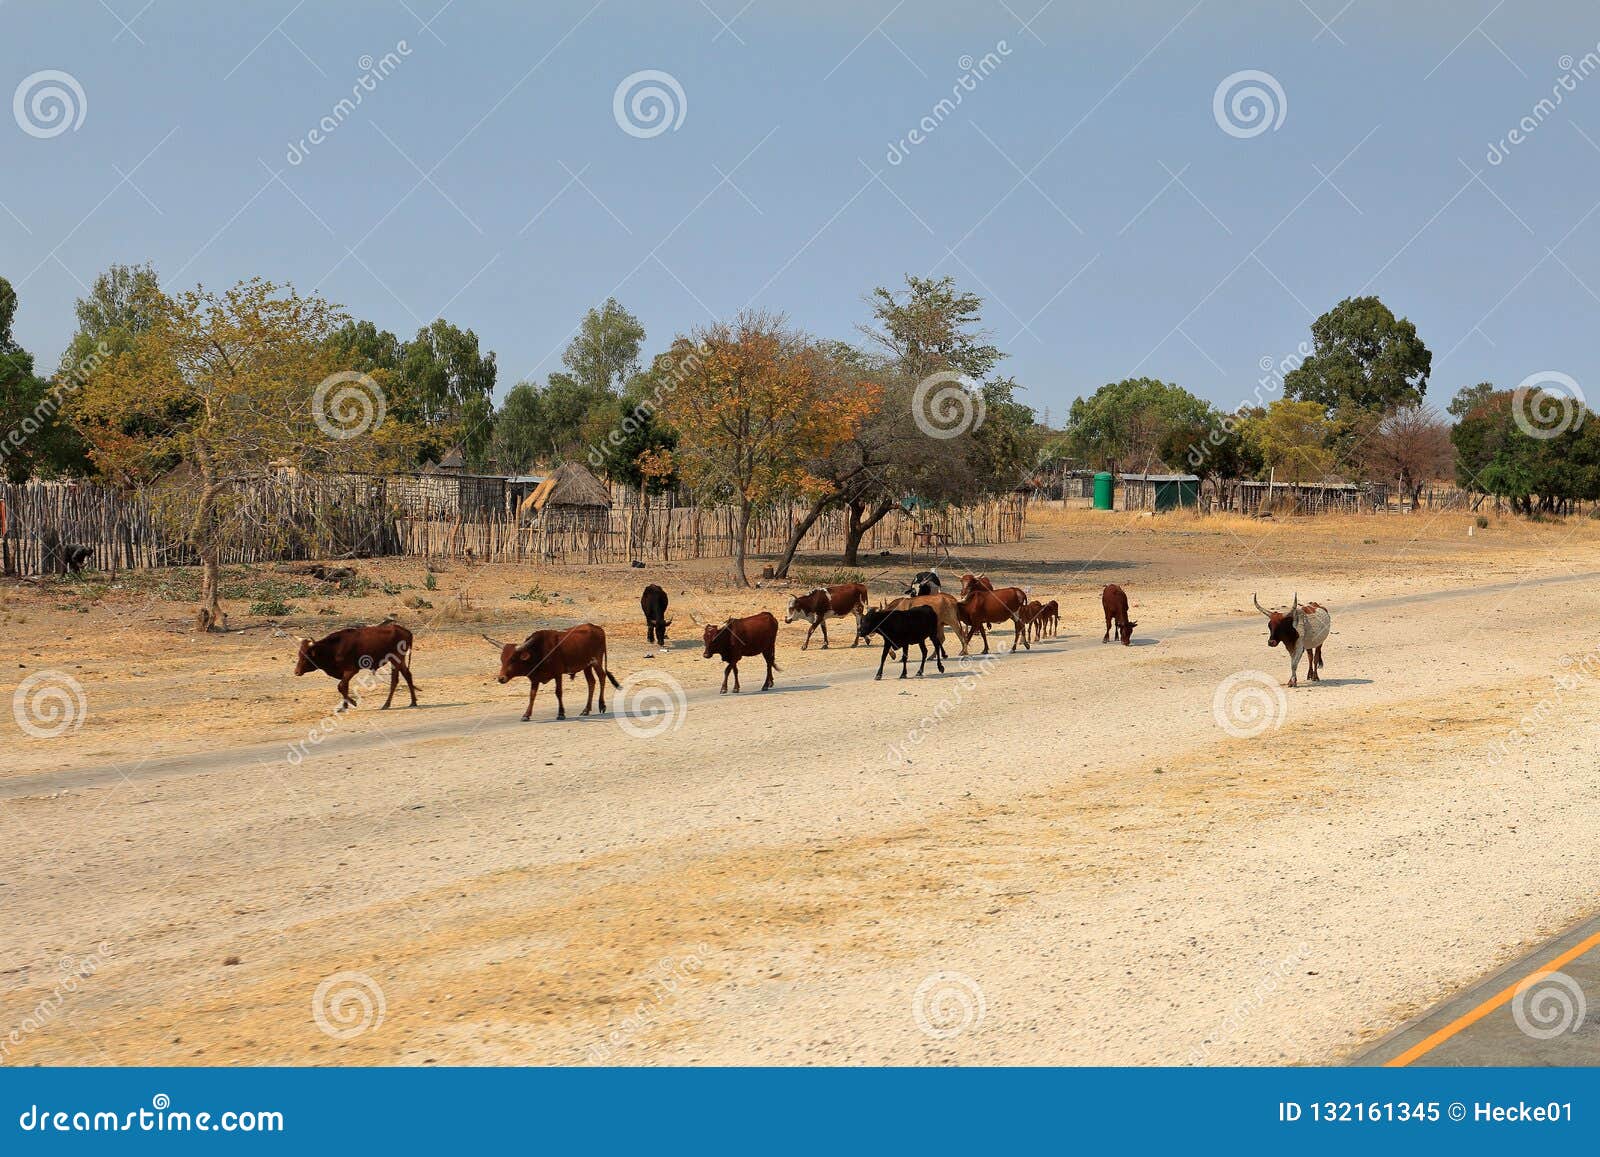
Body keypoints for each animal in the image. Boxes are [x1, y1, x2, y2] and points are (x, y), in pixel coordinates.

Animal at [487, 623, 620, 720]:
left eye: (513, 659)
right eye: (502, 659)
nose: (501, 678)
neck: (538, 651)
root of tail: (596, 627)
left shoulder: (558, 674)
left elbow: (558, 693)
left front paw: (561, 713)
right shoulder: (535, 678)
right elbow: (532, 695)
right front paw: (526, 715)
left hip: (597, 661)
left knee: (602, 677)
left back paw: (601, 705)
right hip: (586, 666)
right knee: (591, 682)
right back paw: (586, 710)